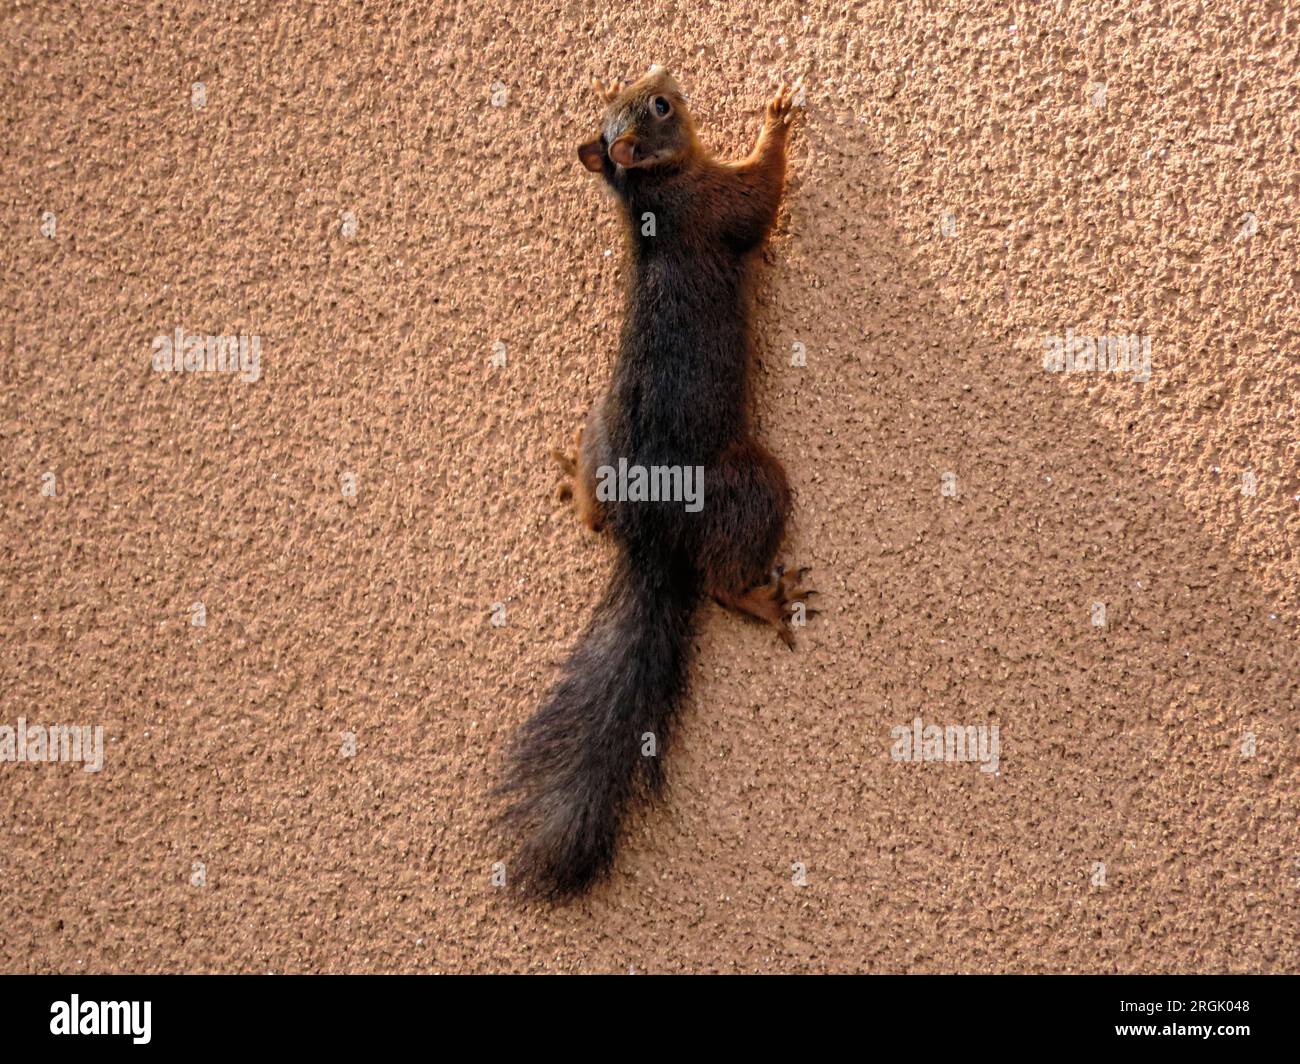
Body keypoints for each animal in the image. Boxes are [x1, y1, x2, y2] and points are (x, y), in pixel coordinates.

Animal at [498, 67, 814, 901]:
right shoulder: (717, 203)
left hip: (599, 432)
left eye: (641, 94)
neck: (649, 194)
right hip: (752, 483)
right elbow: (762, 195)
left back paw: (576, 488)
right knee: (721, 578)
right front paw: (777, 122)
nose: (662, 73)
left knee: (595, 518)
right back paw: (763, 597)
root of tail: (652, 540)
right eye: (663, 107)